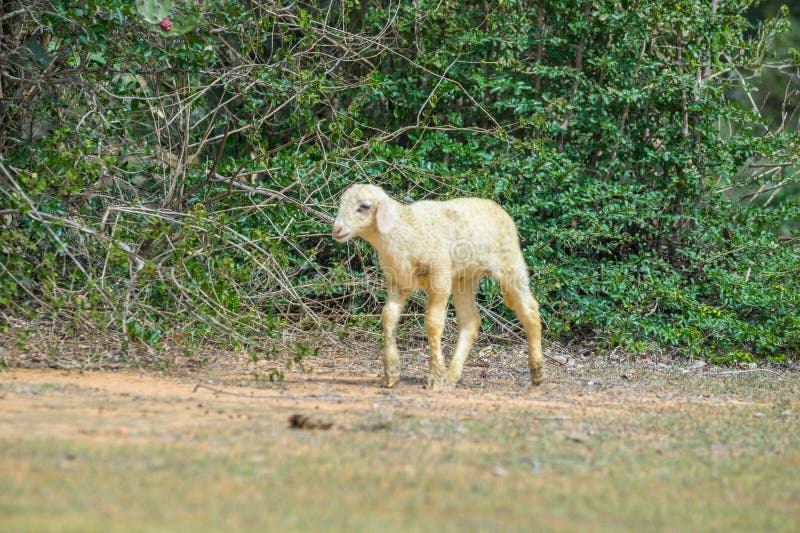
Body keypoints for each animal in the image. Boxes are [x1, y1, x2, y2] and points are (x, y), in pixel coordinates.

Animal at [332, 183, 544, 390]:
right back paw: (451, 377)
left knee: (530, 312)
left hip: (510, 263)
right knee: (470, 321)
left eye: (364, 206)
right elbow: (388, 318)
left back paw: (537, 373)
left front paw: (435, 377)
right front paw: (391, 374)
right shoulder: (397, 281)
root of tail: (496, 206)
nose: (337, 229)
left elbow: (433, 323)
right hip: (464, 277)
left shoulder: (440, 277)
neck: (402, 231)